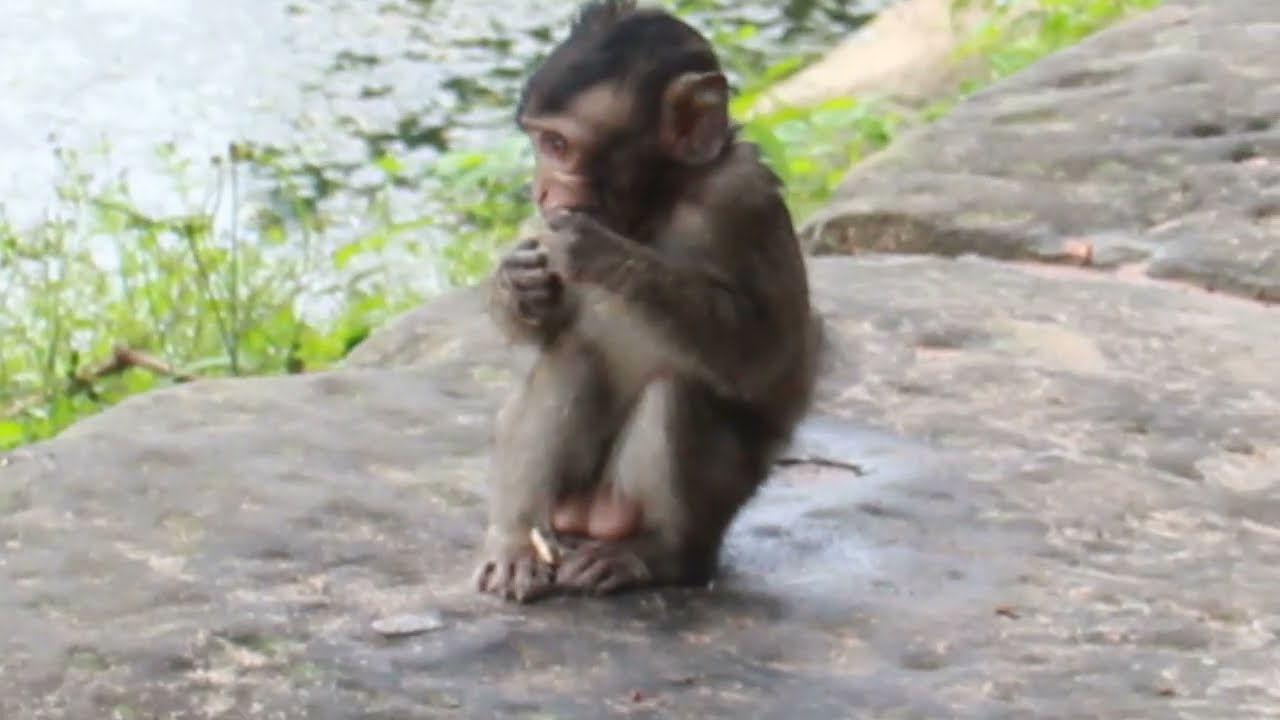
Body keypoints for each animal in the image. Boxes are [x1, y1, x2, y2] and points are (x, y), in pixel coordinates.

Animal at [473, 0, 821, 603]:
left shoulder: (741, 199)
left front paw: (598, 250)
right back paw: (518, 540)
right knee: (568, 358)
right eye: (540, 142)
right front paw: (516, 282)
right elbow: (545, 326)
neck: (659, 203)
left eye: (559, 145)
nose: (541, 190)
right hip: (573, 502)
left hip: (692, 510)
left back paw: (657, 553)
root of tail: (591, 519)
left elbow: (765, 354)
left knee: (677, 393)